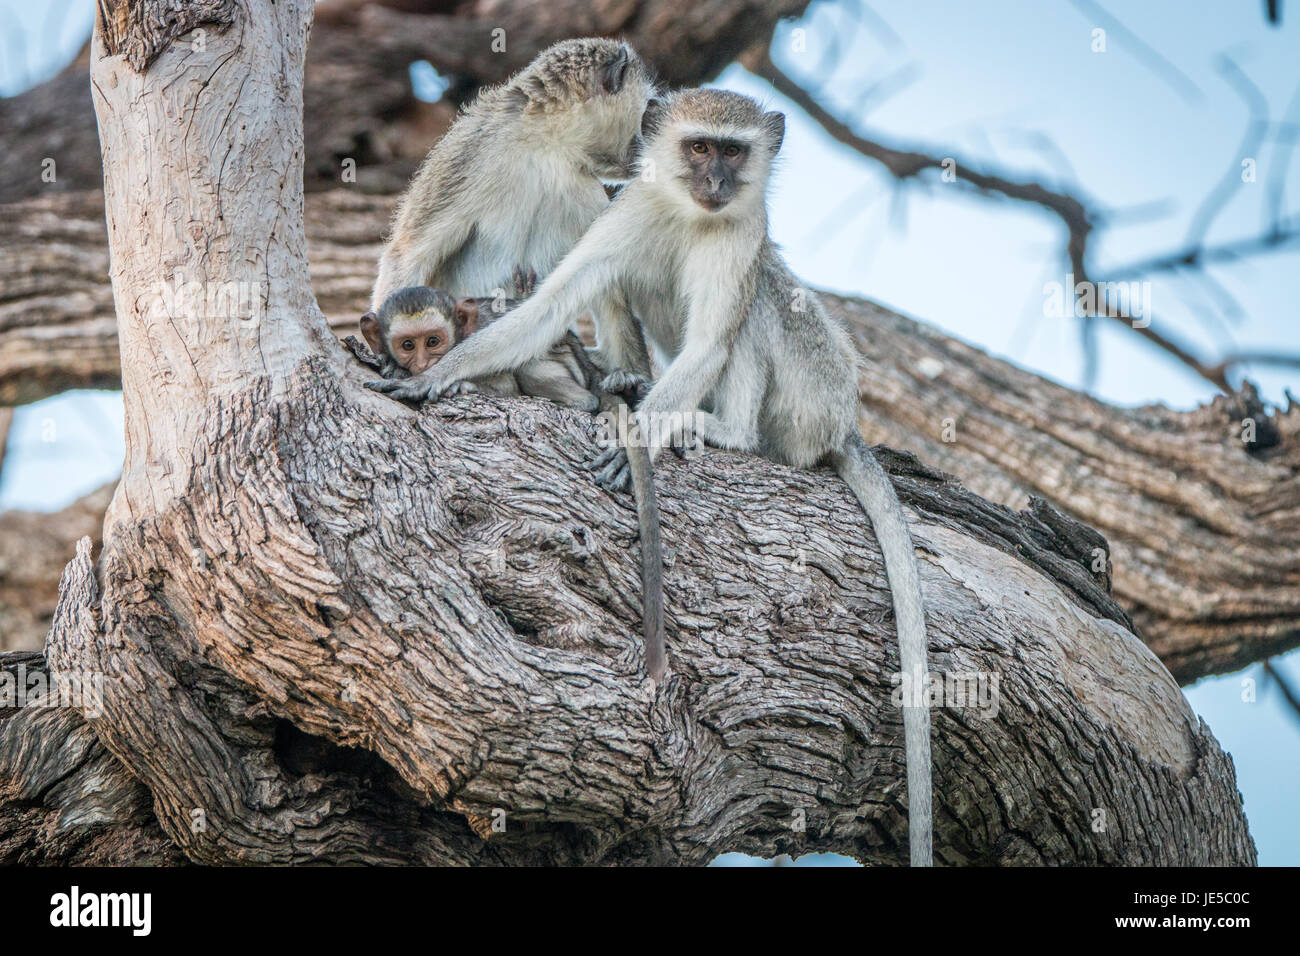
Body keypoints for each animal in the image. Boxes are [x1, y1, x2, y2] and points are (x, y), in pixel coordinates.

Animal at [367, 88, 934, 866]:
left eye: (732, 151)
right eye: (698, 148)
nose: (717, 181)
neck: (689, 212)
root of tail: (844, 423)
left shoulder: (744, 231)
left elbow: (711, 342)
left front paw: (636, 433)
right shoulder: (624, 209)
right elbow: (553, 301)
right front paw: (439, 374)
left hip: (814, 388)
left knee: (762, 301)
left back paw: (724, 431)